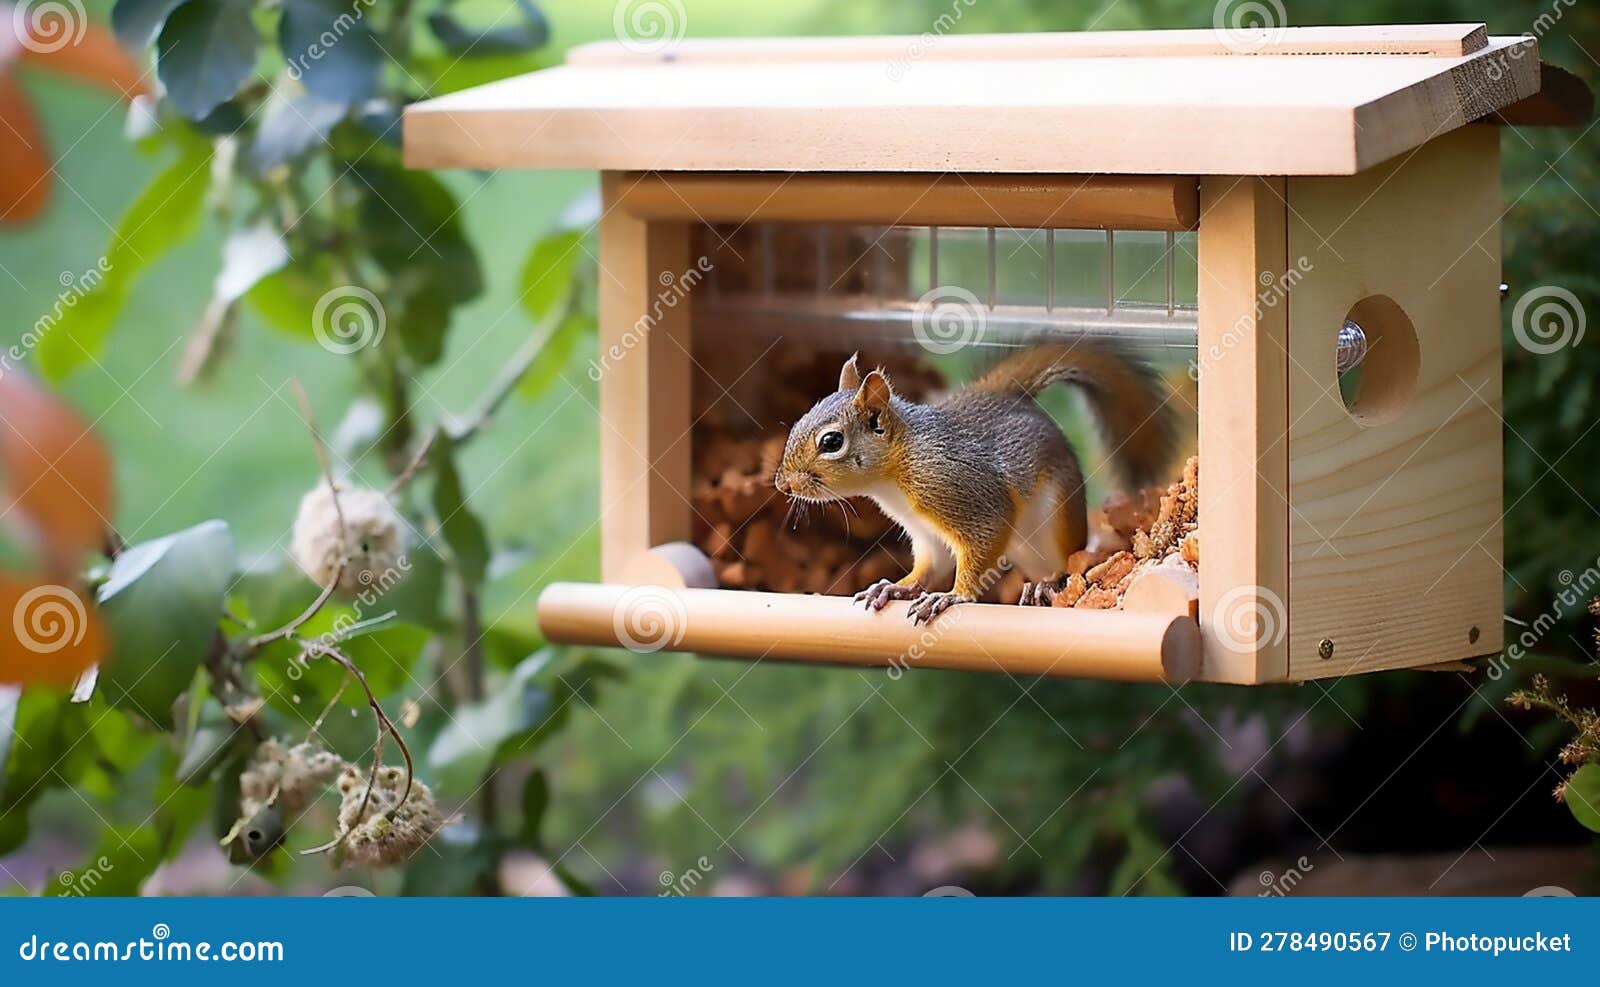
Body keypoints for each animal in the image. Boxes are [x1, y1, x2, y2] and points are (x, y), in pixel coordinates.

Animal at [774, 342, 1175, 623]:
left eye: (831, 442)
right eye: (798, 420)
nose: (783, 486)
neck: (894, 474)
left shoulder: (962, 491)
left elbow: (983, 539)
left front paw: (953, 596)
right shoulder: (925, 533)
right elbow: (929, 565)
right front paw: (895, 587)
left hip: (1055, 519)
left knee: (1068, 557)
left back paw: (1050, 580)